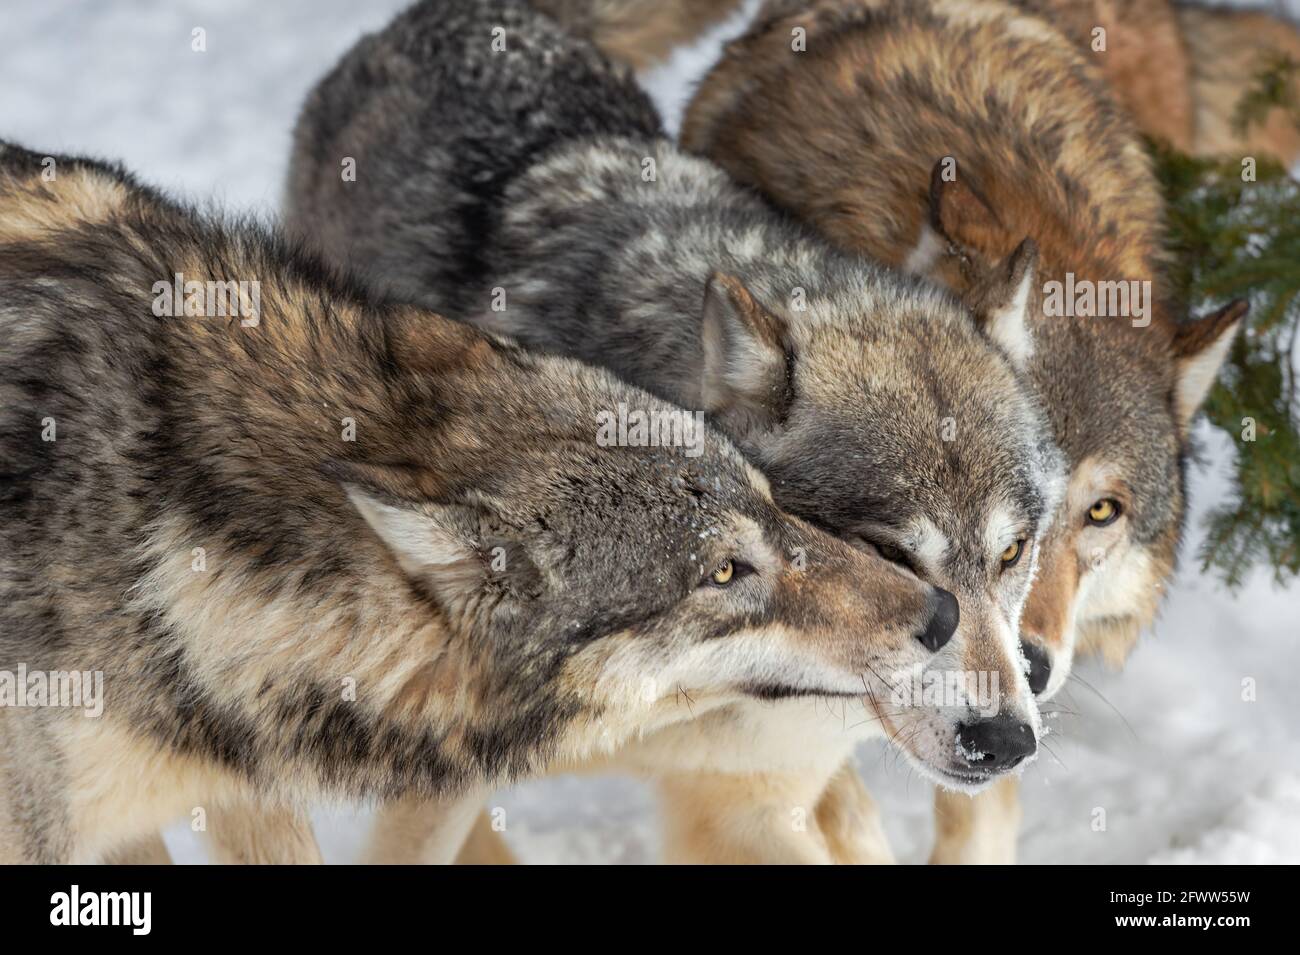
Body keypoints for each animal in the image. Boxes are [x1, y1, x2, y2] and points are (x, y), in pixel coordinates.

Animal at [261, 0, 1069, 864]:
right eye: (891, 551)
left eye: (1012, 552)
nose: (1004, 739)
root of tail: (460, 15)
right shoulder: (437, 772)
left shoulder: (745, 797)